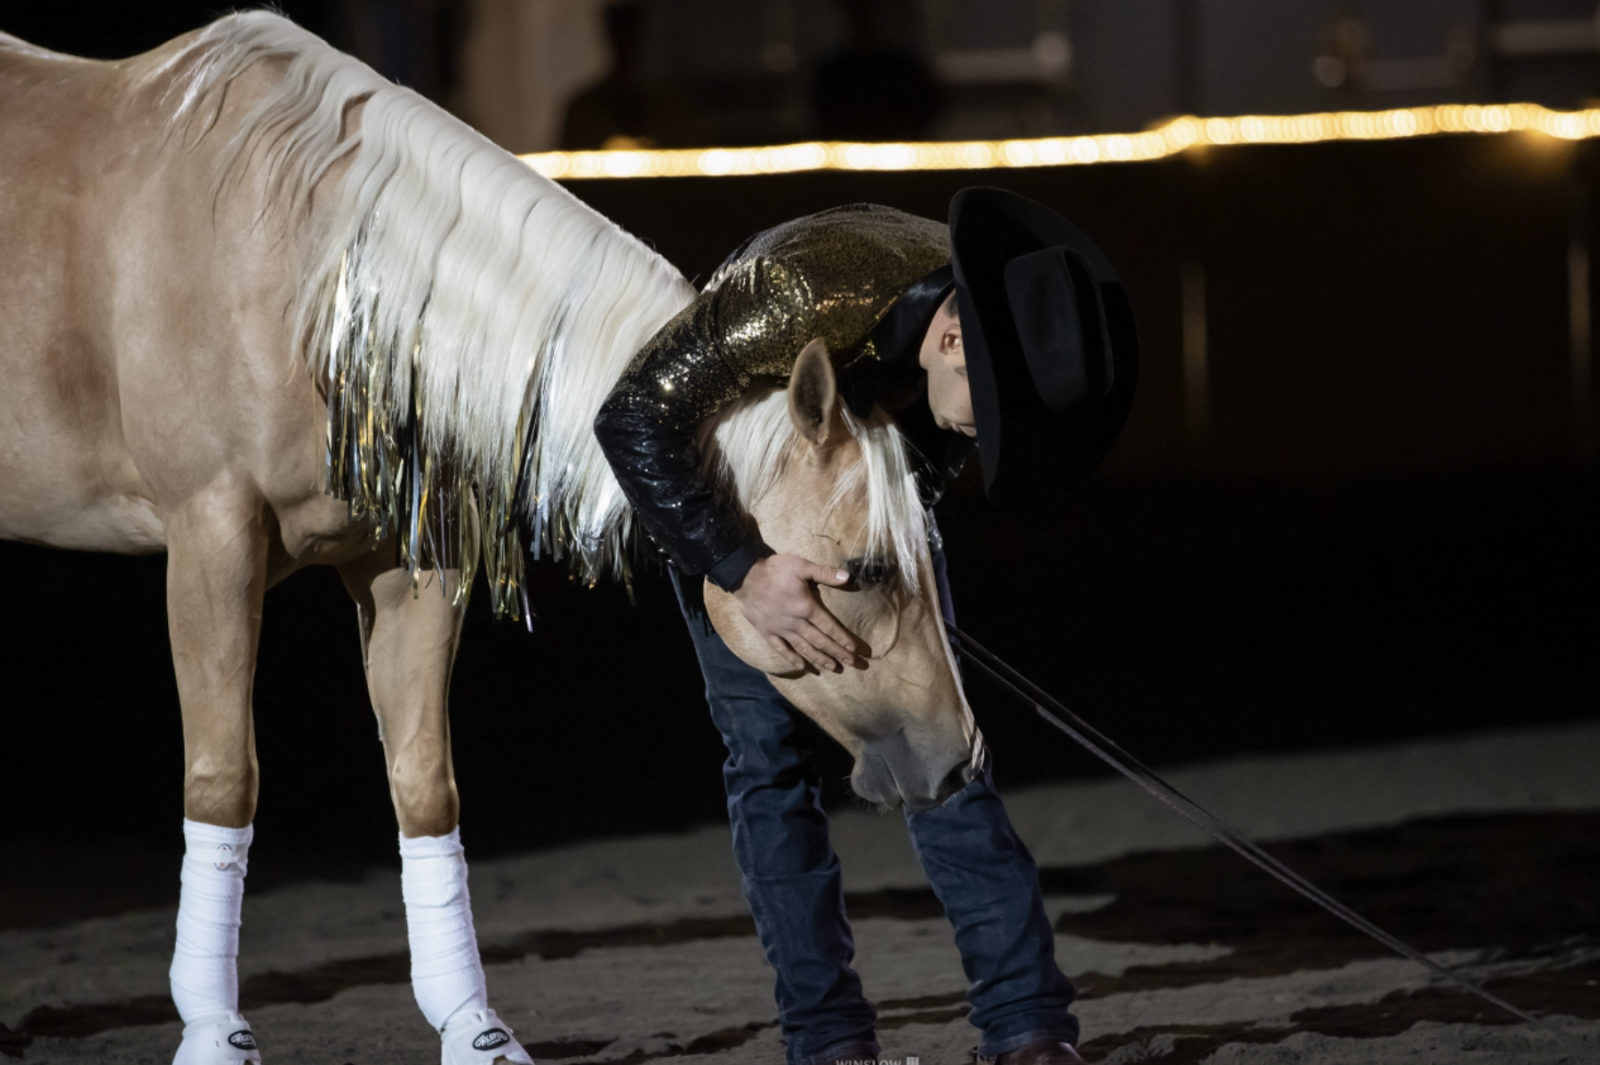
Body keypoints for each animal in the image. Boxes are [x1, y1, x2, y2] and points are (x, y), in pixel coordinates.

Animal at [0, 10, 978, 1062]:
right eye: (866, 570)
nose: (958, 757)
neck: (302, 277)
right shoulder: (210, 539)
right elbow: (225, 782)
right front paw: (217, 1032)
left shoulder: (409, 566)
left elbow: (426, 782)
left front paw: (476, 1029)